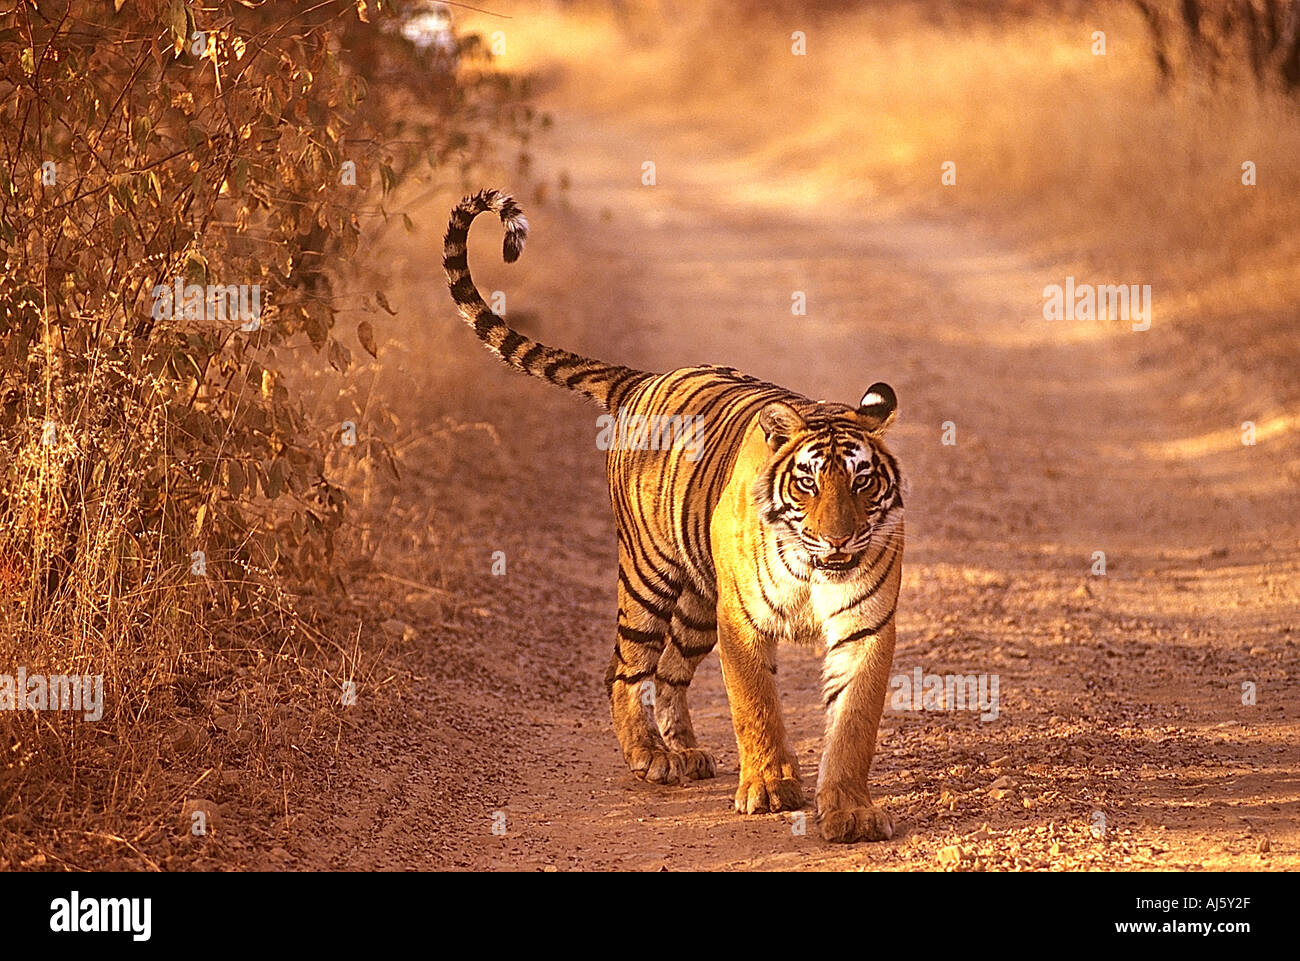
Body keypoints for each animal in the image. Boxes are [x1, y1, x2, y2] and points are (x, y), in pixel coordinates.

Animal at [444, 189, 905, 842]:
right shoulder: (743, 622)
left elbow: (854, 726)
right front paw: (770, 787)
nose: (838, 541)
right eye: (809, 482)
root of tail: (643, 378)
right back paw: (649, 757)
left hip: (698, 601)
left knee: (669, 671)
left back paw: (683, 751)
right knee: (624, 667)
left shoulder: (866, 628)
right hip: (648, 575)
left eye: (863, 482)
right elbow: (755, 704)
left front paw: (850, 810)